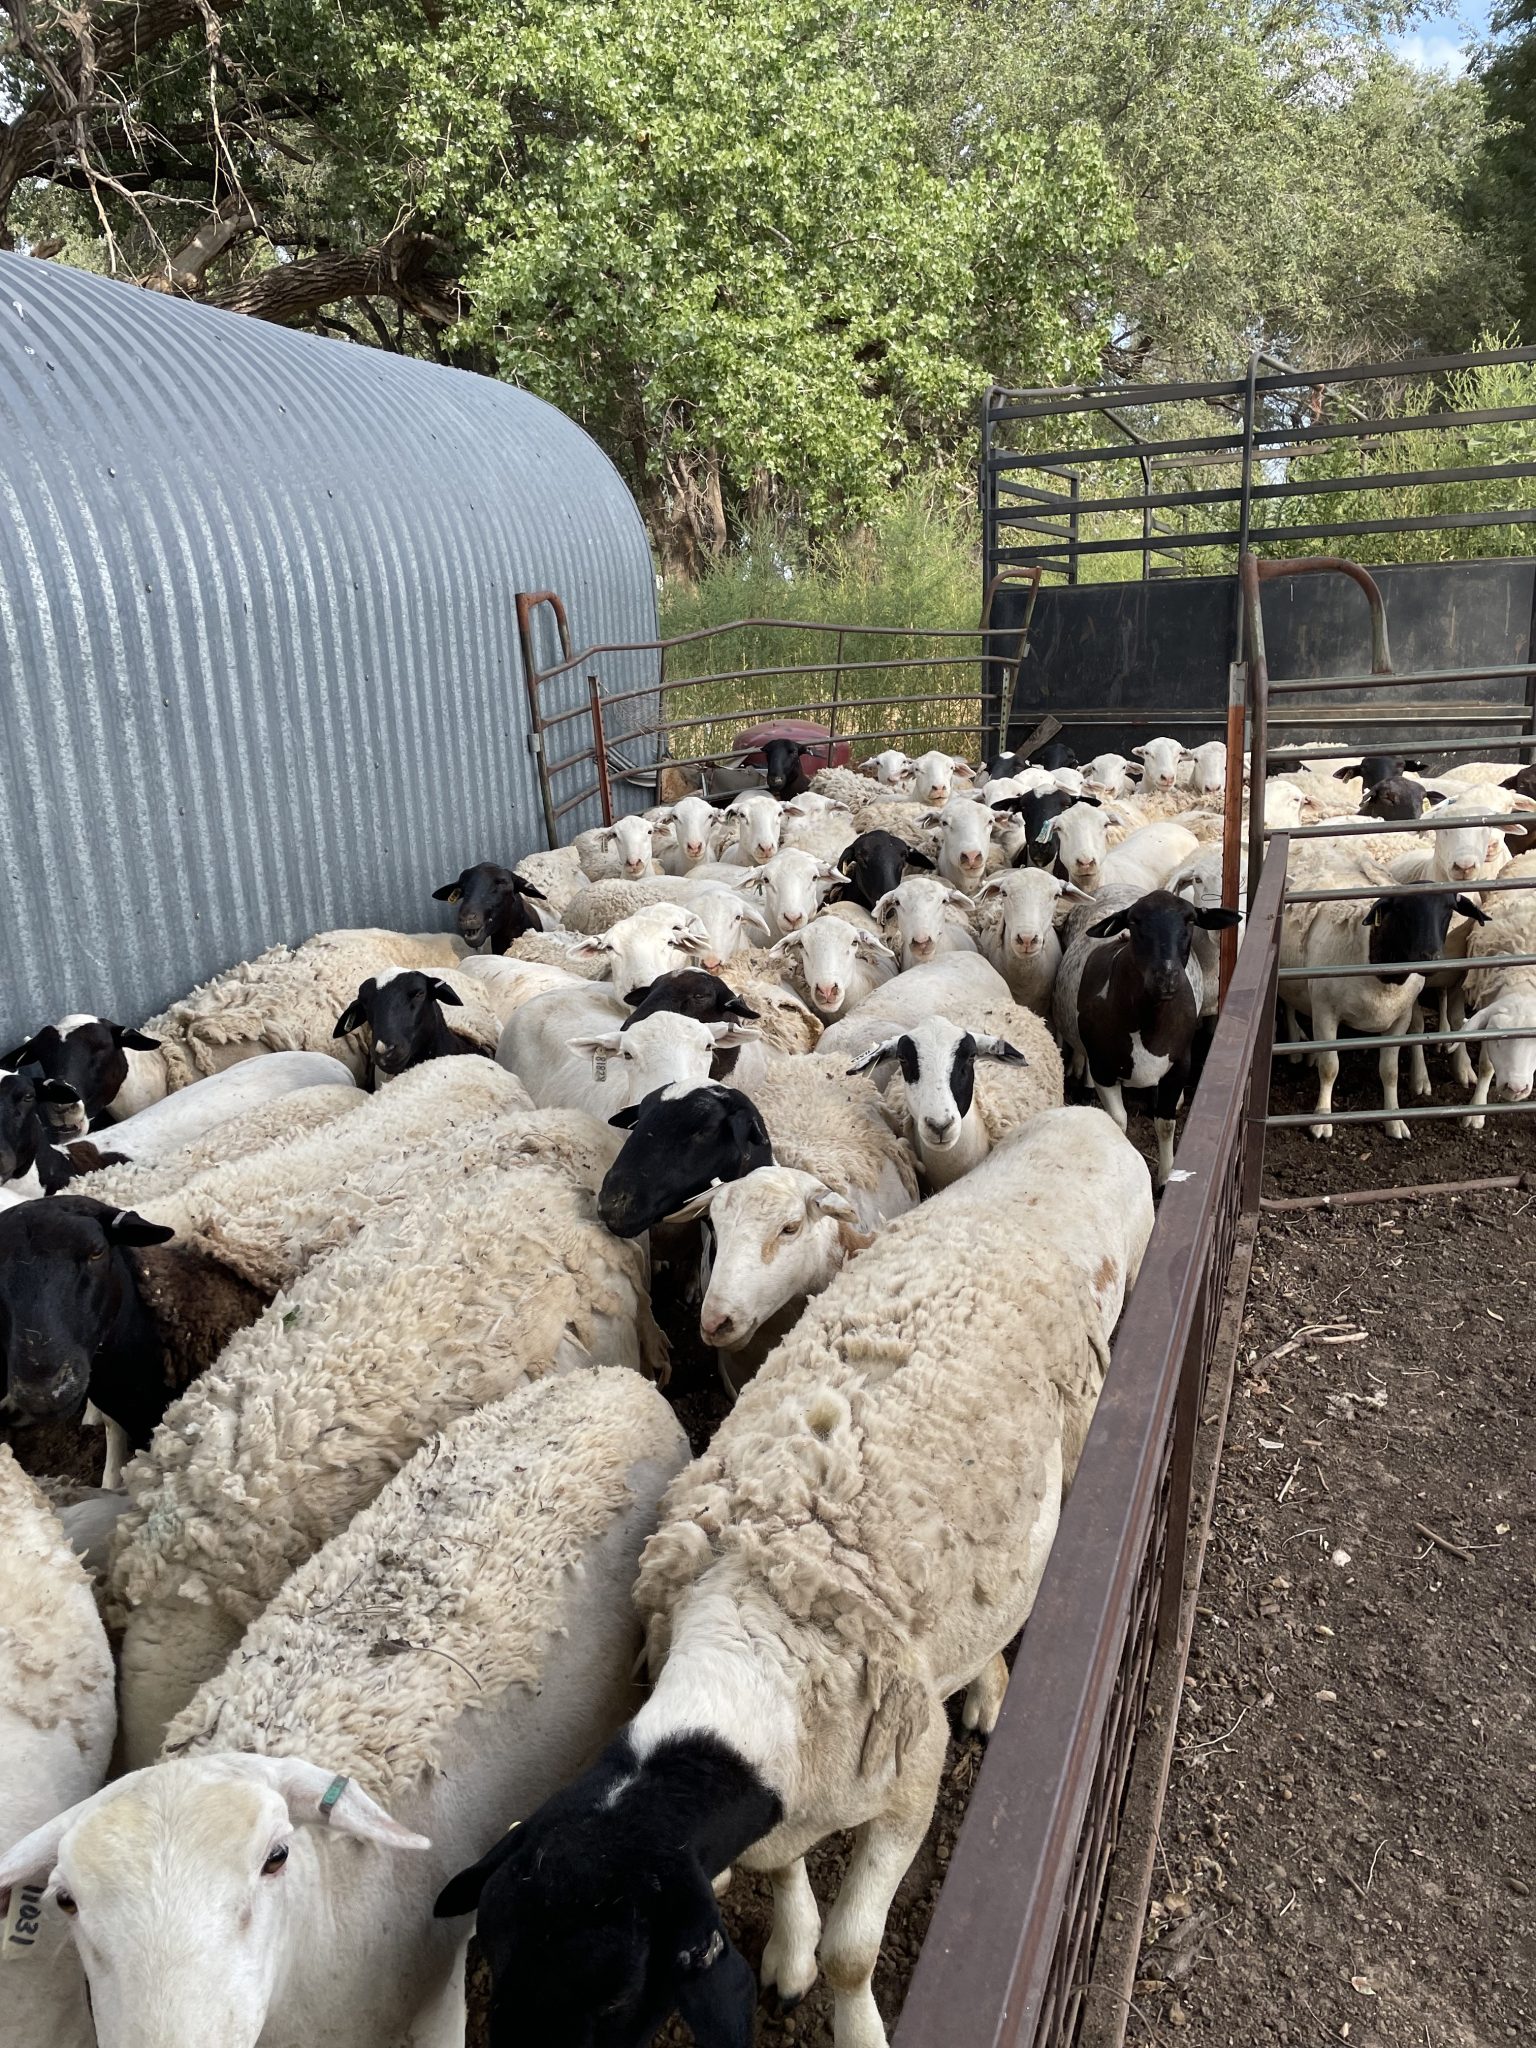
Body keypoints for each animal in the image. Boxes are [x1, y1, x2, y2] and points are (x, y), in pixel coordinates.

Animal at [443, 1107, 1146, 2048]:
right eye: (496, 1954)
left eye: (614, 1994)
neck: (756, 1618)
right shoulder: (791, 1792)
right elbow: (782, 1874)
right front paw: (788, 1949)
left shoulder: (908, 1785)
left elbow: (854, 1955)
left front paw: (855, 2022)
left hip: (1067, 1455)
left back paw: (991, 1687)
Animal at [1054, 887, 1241, 1183]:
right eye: (1134, 921)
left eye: (1190, 920)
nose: (1166, 977)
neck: (1147, 1024)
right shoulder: (1104, 1071)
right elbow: (1118, 1121)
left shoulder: (1179, 1066)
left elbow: (1165, 1123)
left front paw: (1165, 1178)